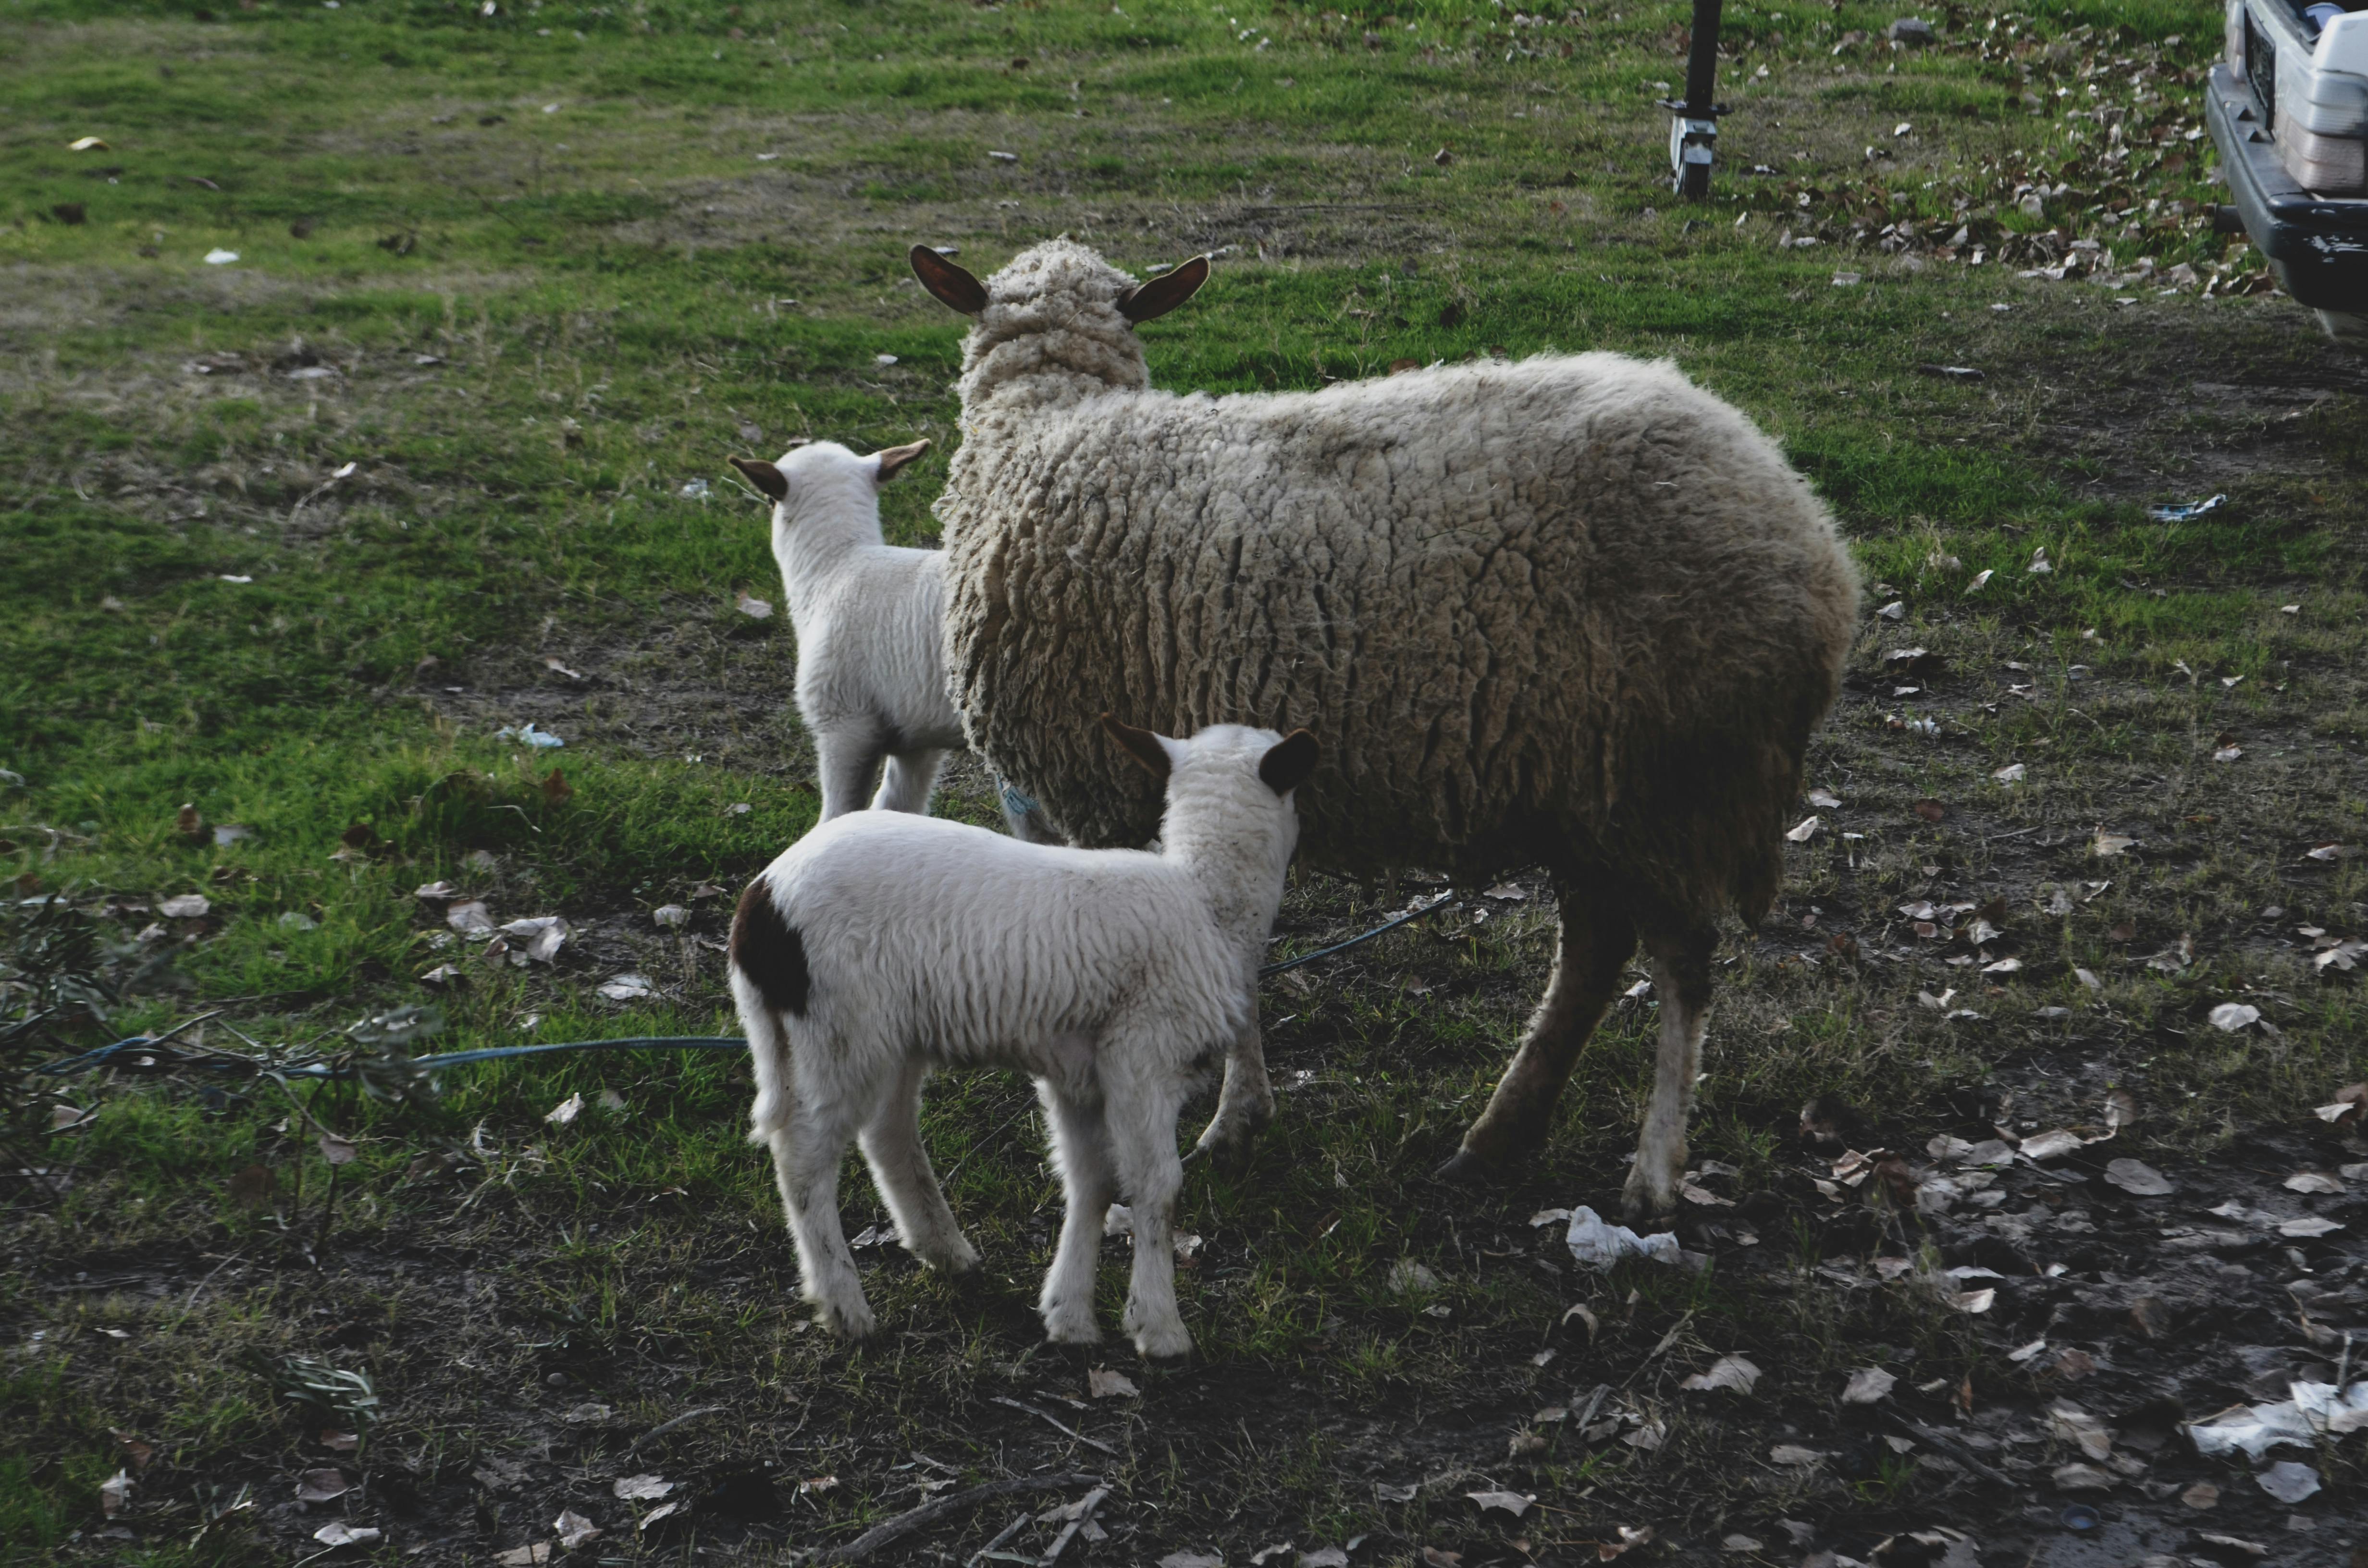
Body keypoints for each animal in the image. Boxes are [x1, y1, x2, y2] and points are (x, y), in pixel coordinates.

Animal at [728, 441, 1056, 839]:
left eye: (769, 500)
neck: (833, 565)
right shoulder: (917, 740)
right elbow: (898, 805)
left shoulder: (845, 723)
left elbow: (839, 811)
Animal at [728, 715, 1319, 1355]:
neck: (1205, 898)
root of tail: (760, 905)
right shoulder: (1140, 1058)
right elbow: (1157, 1186)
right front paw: (1158, 1326)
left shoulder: (1079, 1077)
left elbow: (1092, 1182)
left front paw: (1070, 1316)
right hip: (841, 1029)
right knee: (804, 1158)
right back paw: (843, 1303)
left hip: (885, 1035)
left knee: (887, 1134)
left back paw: (944, 1249)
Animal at [906, 238, 1860, 1219]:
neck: (1047, 427)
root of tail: (1813, 544)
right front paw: (1236, 1113)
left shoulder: (1095, 791)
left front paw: (1204, 1120)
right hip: (1594, 791)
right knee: (1596, 956)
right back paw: (1496, 1138)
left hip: (1661, 784)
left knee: (1679, 966)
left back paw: (1653, 1168)